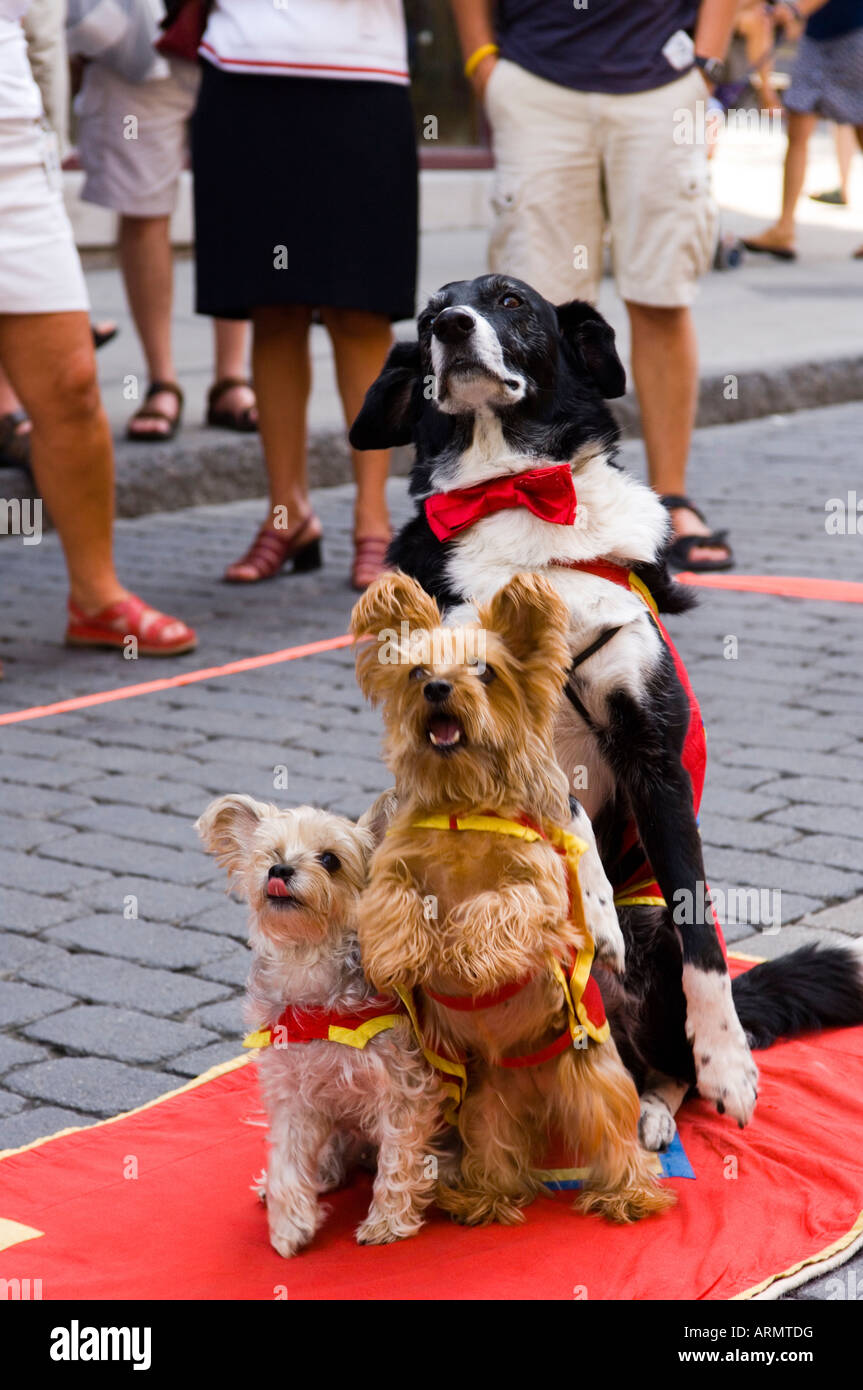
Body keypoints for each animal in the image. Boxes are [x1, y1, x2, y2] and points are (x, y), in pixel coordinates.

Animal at [348, 273, 861, 1150]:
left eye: (510, 301)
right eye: (428, 313)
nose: (451, 326)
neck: (519, 496)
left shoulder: (654, 758)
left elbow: (702, 940)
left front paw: (727, 1061)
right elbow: (566, 805)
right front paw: (587, 900)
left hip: (642, 938)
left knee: (655, 1056)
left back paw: (654, 1107)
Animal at [350, 569, 672, 1223]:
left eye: (484, 670)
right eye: (416, 672)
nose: (439, 689)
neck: (460, 801)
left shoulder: (539, 886)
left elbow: (501, 907)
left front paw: (472, 951)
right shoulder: (395, 867)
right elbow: (393, 901)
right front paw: (400, 952)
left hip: (598, 1079)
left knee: (616, 1139)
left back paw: (628, 1194)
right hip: (485, 1100)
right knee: (498, 1152)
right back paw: (483, 1198)